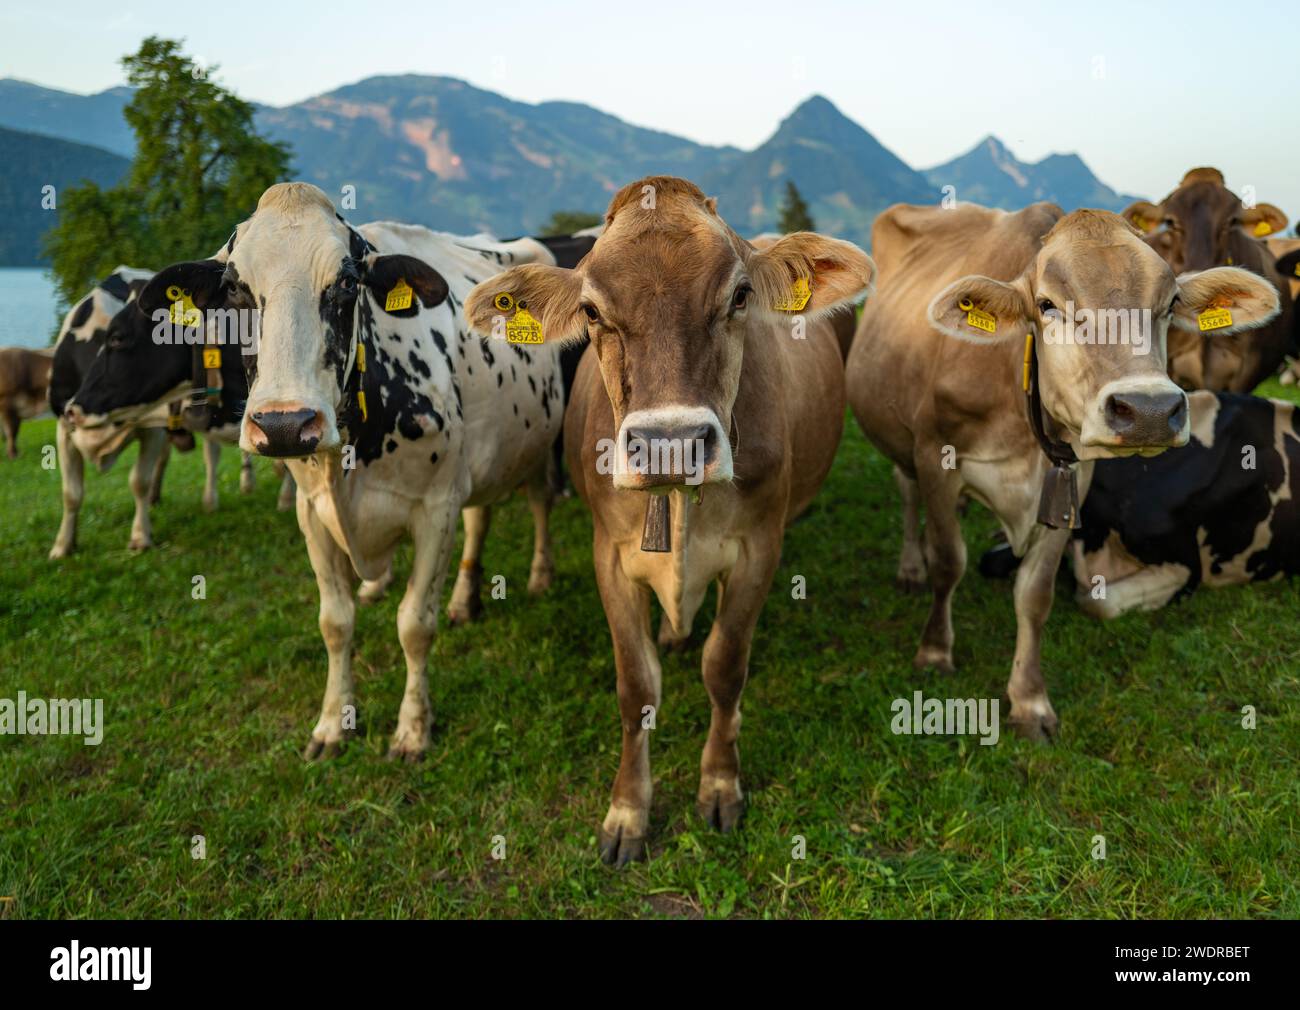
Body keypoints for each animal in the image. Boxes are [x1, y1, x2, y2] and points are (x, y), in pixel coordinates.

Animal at [134, 182, 567, 761]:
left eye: (346, 283)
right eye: (233, 288)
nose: (286, 424)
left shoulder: (435, 508)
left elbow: (414, 625)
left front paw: (413, 729)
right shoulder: (311, 512)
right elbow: (335, 623)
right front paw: (333, 724)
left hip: (541, 441)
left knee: (539, 500)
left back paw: (539, 575)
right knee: (479, 518)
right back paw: (459, 598)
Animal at [465, 176, 875, 865]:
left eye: (740, 295)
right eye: (592, 312)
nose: (670, 444)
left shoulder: (758, 549)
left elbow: (725, 668)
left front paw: (720, 785)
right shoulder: (610, 556)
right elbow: (637, 689)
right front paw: (628, 812)